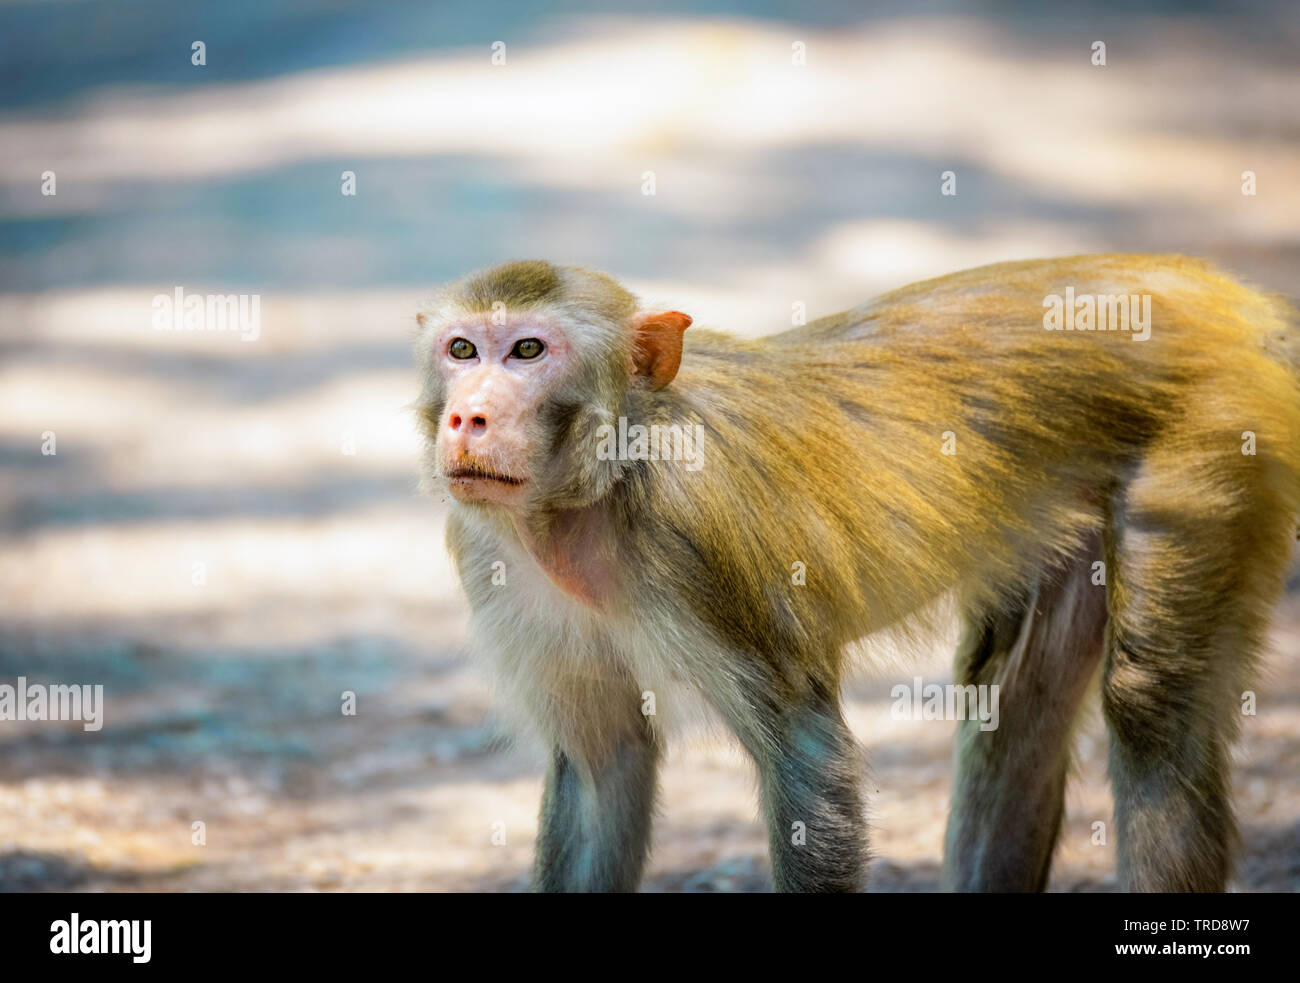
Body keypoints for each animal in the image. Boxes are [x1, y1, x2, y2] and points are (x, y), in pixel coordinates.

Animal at [413, 255, 1300, 893]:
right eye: (462, 350)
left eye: (528, 350)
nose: (467, 415)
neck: (599, 487)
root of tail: (1216, 293)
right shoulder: (490, 557)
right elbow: (606, 766)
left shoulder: (697, 539)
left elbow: (808, 758)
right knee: (1017, 702)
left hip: (1213, 439)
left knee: (1150, 708)